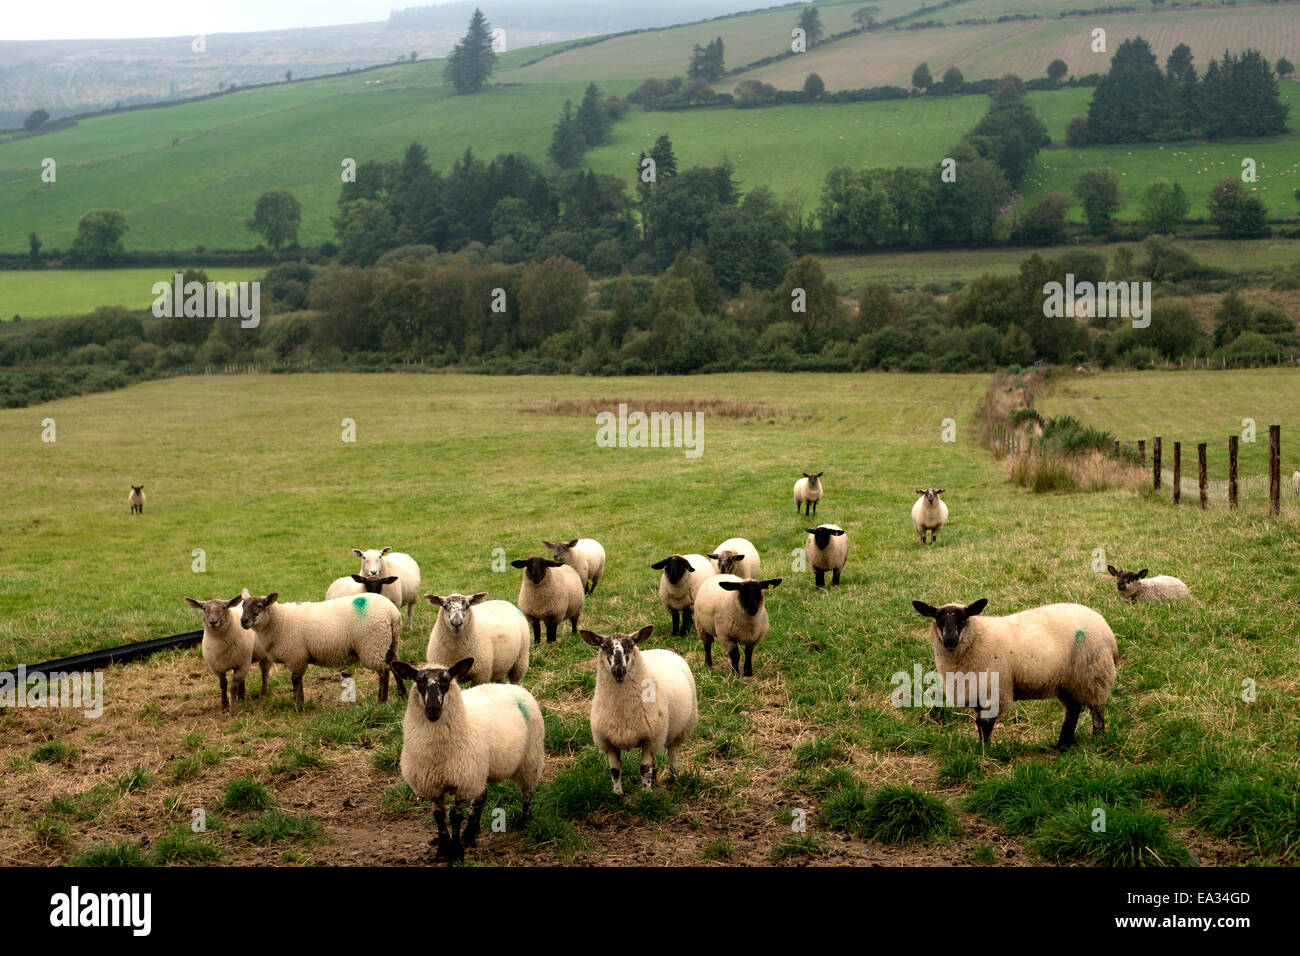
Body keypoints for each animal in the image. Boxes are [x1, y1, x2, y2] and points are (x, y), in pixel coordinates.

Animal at [238, 589, 405, 704]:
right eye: (243, 605)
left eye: (259, 606)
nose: (243, 621)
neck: (279, 621)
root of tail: (392, 613)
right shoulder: (300, 658)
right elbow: (298, 680)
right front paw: (301, 702)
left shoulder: (296, 656)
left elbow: (295, 680)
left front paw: (297, 705)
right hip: (391, 644)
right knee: (394, 665)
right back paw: (402, 694)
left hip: (373, 645)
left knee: (383, 671)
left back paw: (381, 700)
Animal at [390, 657, 545, 864]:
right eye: (419, 682)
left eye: (447, 682)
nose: (433, 709)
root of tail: (510, 686)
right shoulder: (431, 783)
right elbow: (438, 815)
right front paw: (442, 849)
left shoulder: (462, 781)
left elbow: (455, 816)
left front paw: (456, 853)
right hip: (480, 769)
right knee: (481, 796)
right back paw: (470, 834)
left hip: (530, 758)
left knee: (527, 790)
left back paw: (524, 821)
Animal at [581, 624, 697, 795]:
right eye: (604, 647)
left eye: (631, 645)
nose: (618, 671)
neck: (622, 711)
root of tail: (663, 649)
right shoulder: (609, 743)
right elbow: (615, 771)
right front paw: (618, 794)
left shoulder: (650, 739)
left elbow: (644, 768)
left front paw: (646, 793)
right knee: (655, 759)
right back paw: (655, 778)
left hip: (682, 729)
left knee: (672, 754)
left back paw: (673, 779)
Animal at [911, 598, 1118, 749]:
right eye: (938, 620)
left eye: (962, 620)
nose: (950, 640)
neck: (978, 637)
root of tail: (1106, 627)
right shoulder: (977, 692)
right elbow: (978, 723)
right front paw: (981, 748)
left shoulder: (993, 691)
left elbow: (985, 724)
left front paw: (984, 752)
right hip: (1066, 682)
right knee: (1073, 709)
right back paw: (1062, 745)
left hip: (1092, 675)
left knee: (1097, 710)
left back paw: (1097, 738)